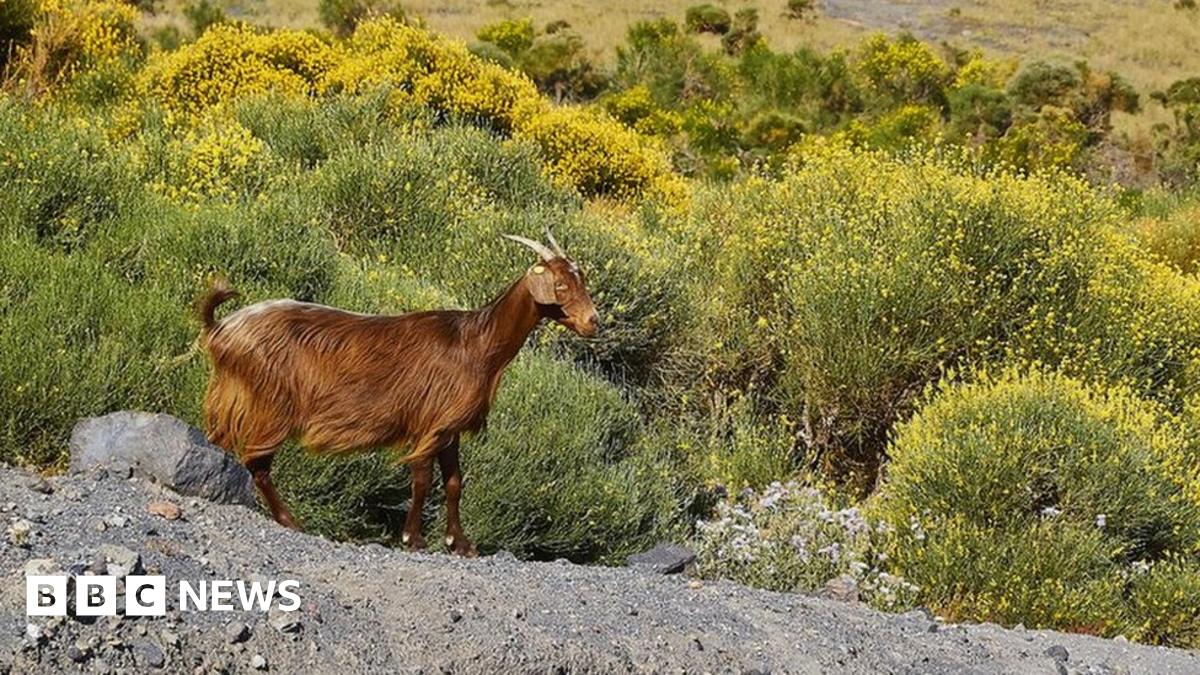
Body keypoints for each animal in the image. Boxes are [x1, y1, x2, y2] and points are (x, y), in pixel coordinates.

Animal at [196, 232, 598, 556]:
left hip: (234, 398)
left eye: (581, 280)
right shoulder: (429, 421)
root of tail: (221, 328)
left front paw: (460, 544)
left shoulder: (449, 427)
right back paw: (290, 520)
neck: (477, 344)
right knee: (257, 462)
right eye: (561, 285)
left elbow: (454, 483)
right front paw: (414, 539)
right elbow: (422, 479)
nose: (593, 321)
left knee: (223, 445)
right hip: (269, 402)